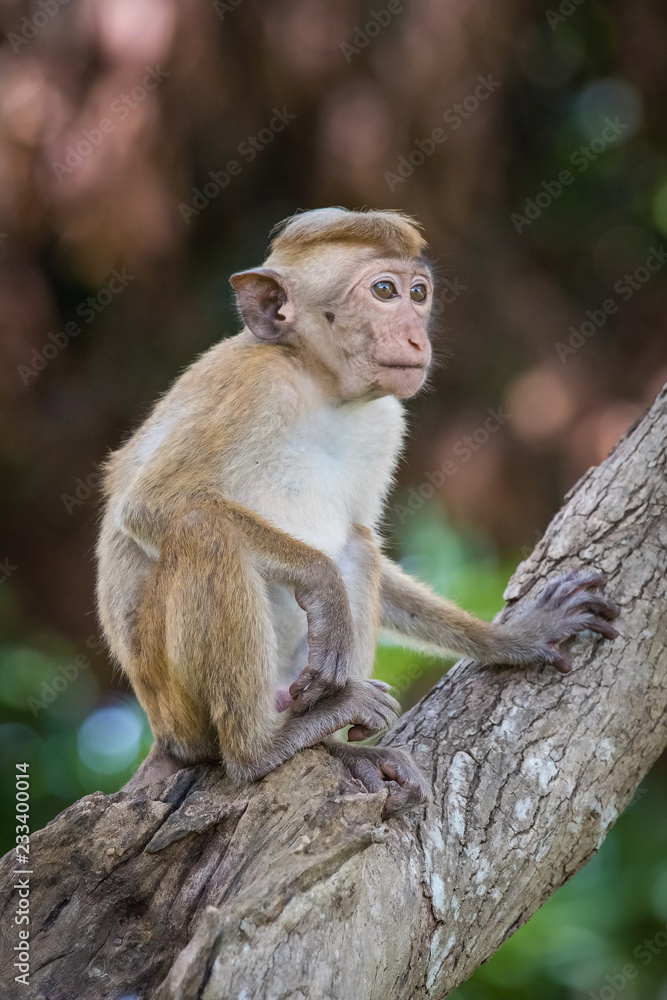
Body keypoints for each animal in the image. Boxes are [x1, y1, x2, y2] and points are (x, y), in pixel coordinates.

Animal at [96, 207, 619, 816]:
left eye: (418, 293)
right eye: (384, 291)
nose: (416, 335)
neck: (320, 387)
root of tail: (163, 735)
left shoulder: (386, 420)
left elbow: (360, 535)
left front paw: (516, 637)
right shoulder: (253, 385)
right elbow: (154, 502)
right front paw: (322, 586)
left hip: (290, 684)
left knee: (355, 547)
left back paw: (337, 746)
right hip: (179, 705)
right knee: (205, 531)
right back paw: (261, 748)